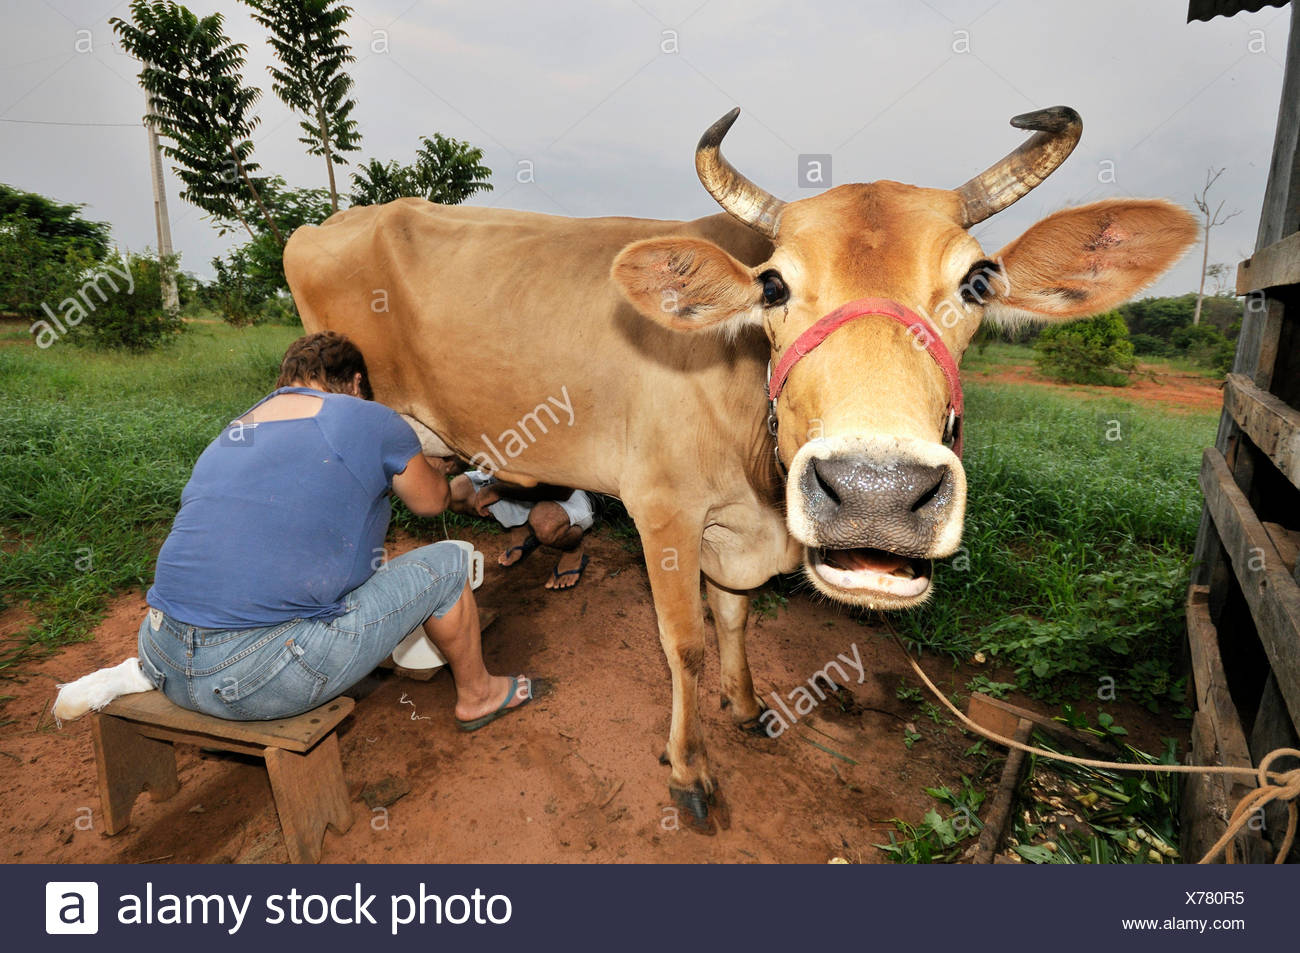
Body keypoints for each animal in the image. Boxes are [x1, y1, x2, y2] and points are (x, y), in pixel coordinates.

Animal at [284, 106, 1197, 832]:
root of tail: (322, 225)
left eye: (977, 282)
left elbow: (736, 617)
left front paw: (748, 703)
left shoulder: (740, 528)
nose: (876, 491)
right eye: (773, 286)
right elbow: (685, 641)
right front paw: (690, 768)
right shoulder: (662, 509)